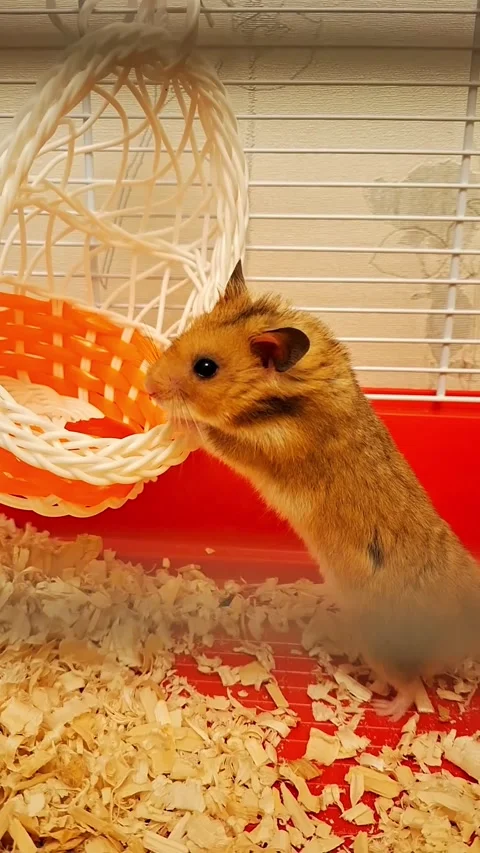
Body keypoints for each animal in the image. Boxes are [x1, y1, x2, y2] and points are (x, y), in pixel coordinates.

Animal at [146, 261, 480, 720]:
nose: (147, 386)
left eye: (206, 367)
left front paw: (179, 424)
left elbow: (215, 436)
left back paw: (386, 707)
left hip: (385, 646)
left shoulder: (267, 449)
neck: (288, 398)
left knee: (414, 688)